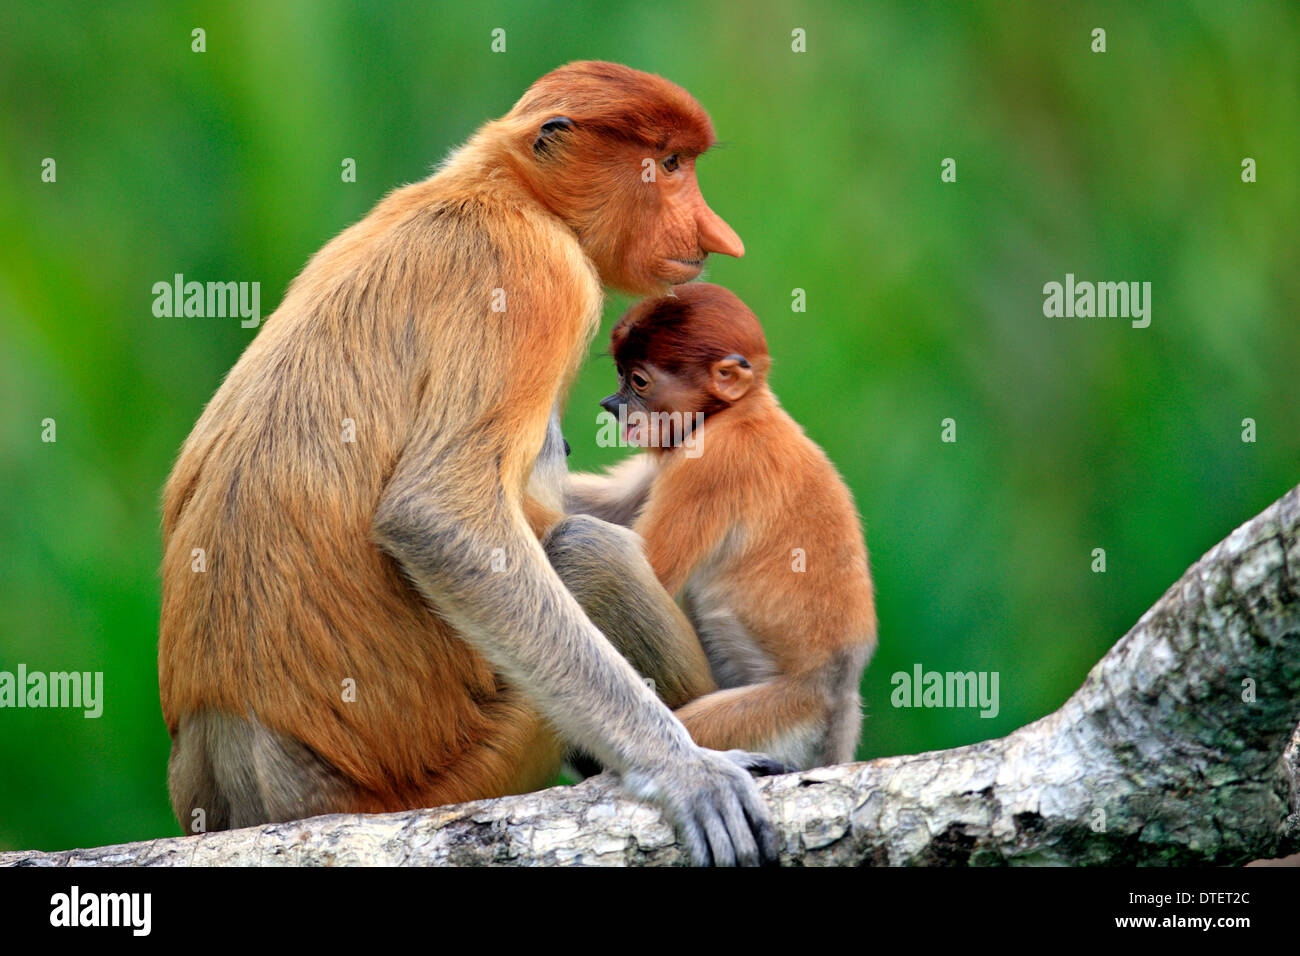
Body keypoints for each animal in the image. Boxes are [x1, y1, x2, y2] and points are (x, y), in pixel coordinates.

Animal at [159, 62, 786, 866]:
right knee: (589, 554)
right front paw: (689, 772)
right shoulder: (538, 278)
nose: (715, 235)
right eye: (670, 164)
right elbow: (440, 518)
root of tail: (255, 775)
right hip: (471, 759)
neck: (502, 188)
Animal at [566, 282, 878, 770]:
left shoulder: (714, 459)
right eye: (619, 375)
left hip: (776, 714)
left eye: (637, 381)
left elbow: (647, 563)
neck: (743, 410)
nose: (611, 405)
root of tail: (838, 693)